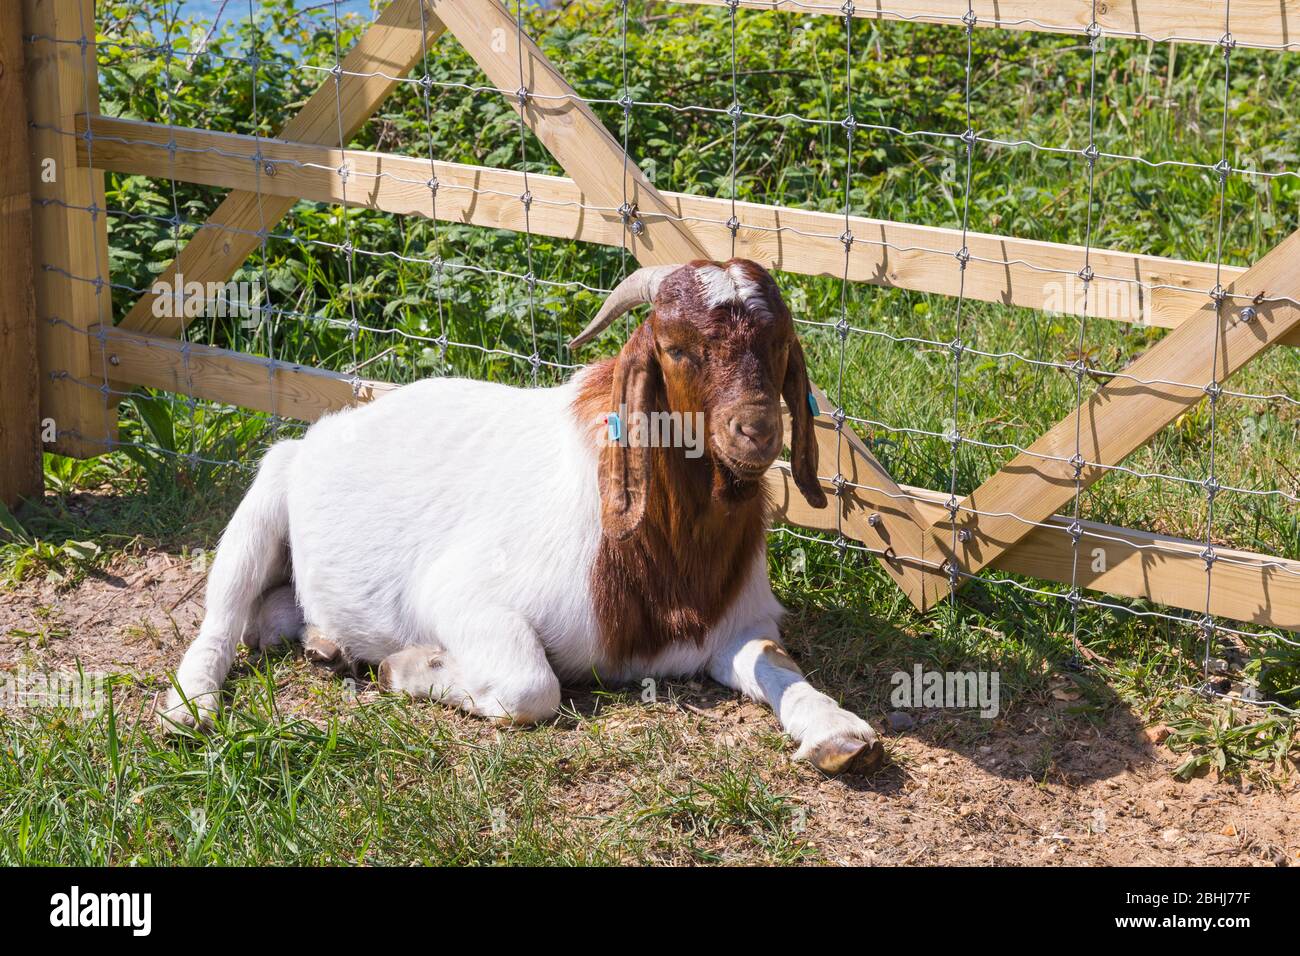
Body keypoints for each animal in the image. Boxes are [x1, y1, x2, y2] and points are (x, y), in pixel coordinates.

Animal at [160, 259, 883, 775]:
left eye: (779, 343)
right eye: (678, 347)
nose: (756, 431)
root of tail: (334, 423)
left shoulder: (736, 624)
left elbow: (776, 661)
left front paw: (838, 731)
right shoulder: (464, 596)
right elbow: (534, 687)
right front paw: (409, 668)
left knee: (270, 615)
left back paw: (324, 643)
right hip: (266, 494)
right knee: (221, 618)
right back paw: (189, 708)